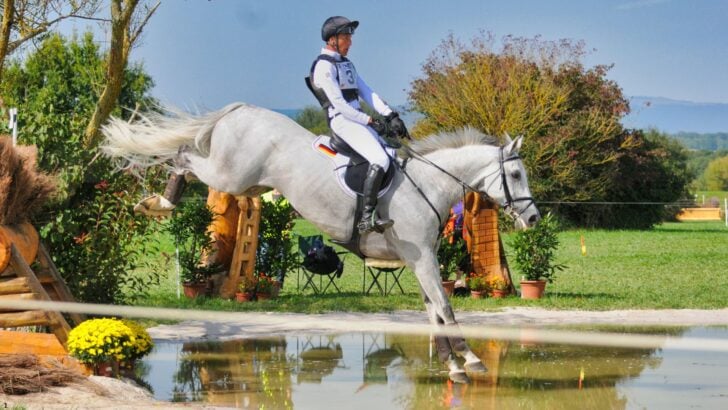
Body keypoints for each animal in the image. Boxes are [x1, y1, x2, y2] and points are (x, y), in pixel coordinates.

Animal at [101, 102, 540, 383]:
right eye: (516, 175)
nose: (534, 218)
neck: (429, 183)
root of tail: (239, 109)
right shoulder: (423, 260)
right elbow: (446, 308)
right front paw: (472, 359)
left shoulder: (420, 261)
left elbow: (434, 311)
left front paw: (452, 366)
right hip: (230, 174)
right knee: (183, 156)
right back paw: (158, 202)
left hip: (248, 183)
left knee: (189, 158)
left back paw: (156, 201)